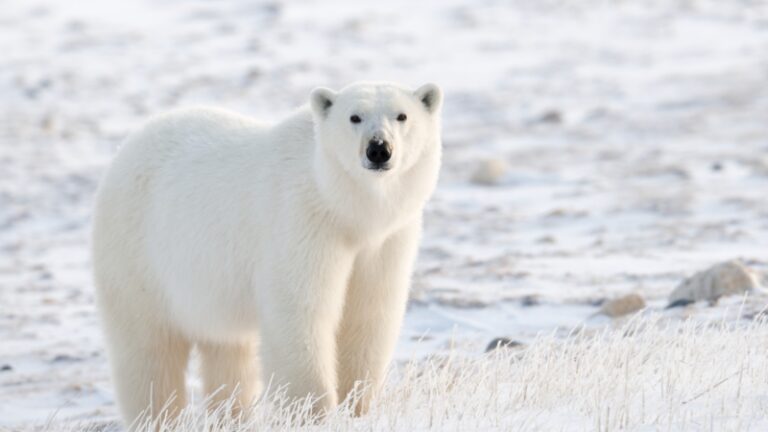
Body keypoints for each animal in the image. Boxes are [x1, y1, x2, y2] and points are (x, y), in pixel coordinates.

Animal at [91, 81, 443, 425]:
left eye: (402, 116)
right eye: (354, 117)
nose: (379, 149)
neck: (344, 209)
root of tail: (128, 146)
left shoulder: (385, 241)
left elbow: (368, 314)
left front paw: (357, 407)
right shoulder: (302, 222)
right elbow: (301, 312)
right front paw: (313, 413)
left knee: (228, 352)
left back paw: (232, 417)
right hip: (138, 256)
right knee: (148, 351)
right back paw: (158, 417)